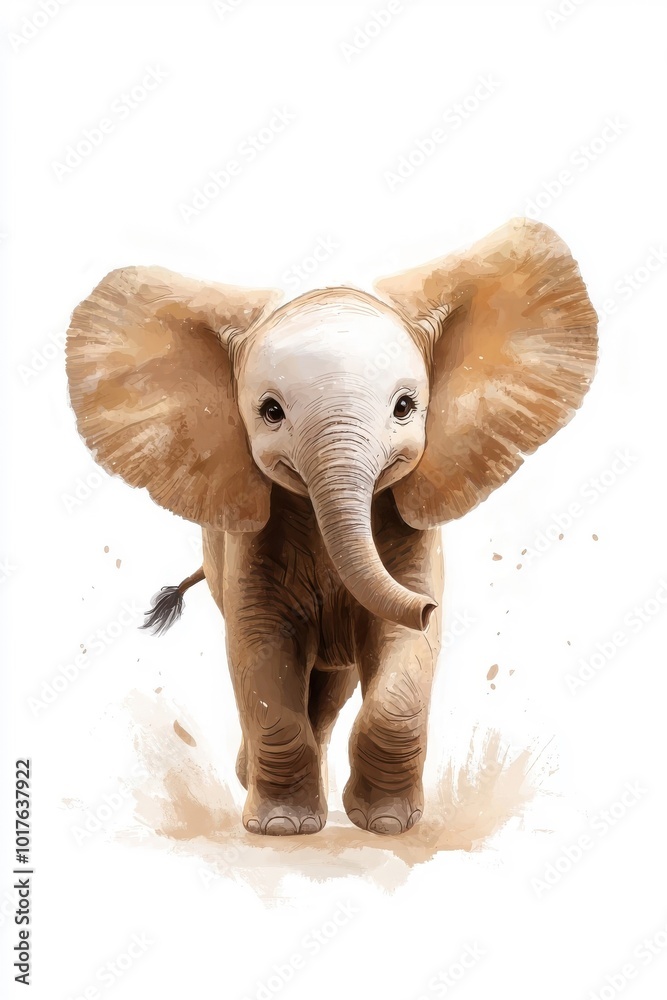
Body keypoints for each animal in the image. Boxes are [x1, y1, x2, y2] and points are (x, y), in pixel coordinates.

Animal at [65, 218, 598, 837]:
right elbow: (260, 652)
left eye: (405, 407)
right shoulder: (253, 540)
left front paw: (386, 824)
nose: (428, 608)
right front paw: (281, 829)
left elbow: (402, 661)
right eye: (270, 412)